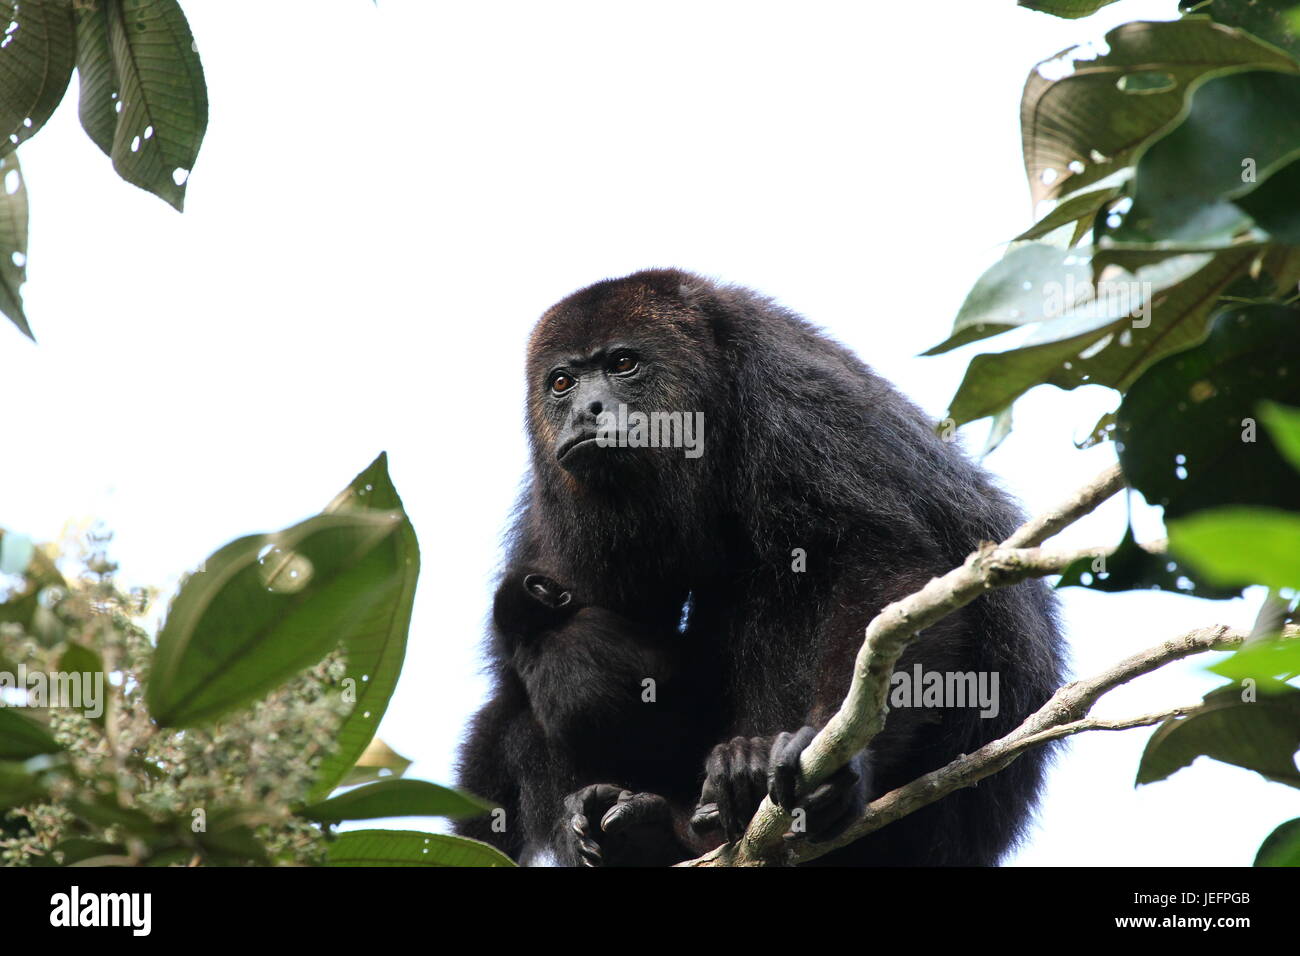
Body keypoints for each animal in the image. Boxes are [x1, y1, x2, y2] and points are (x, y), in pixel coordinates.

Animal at [457, 268, 1065, 865]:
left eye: (623, 363)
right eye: (562, 383)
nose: (587, 411)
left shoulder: (793, 399)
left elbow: (886, 566)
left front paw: (841, 769)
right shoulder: (555, 506)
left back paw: (737, 777)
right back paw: (645, 833)